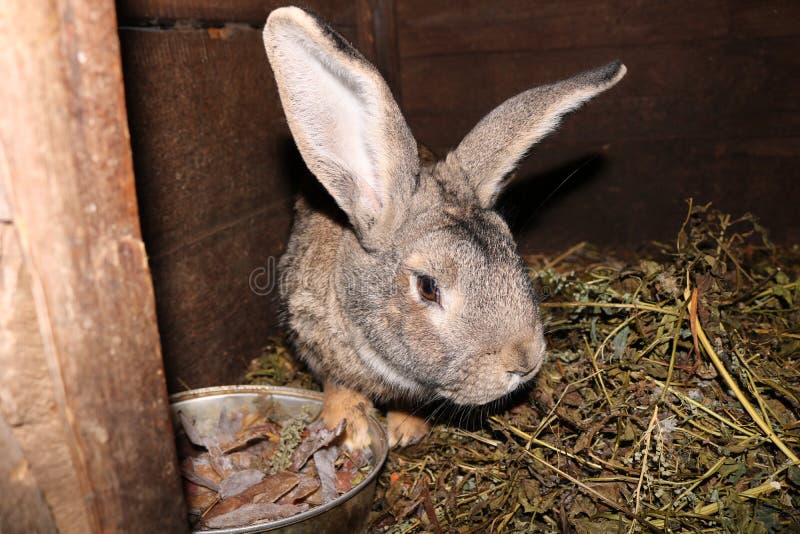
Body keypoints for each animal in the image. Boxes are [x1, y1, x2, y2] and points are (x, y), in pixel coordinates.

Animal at [262, 6, 626, 449]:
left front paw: (407, 431)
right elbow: (339, 386)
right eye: (427, 287)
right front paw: (351, 433)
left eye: (513, 254)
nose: (524, 361)